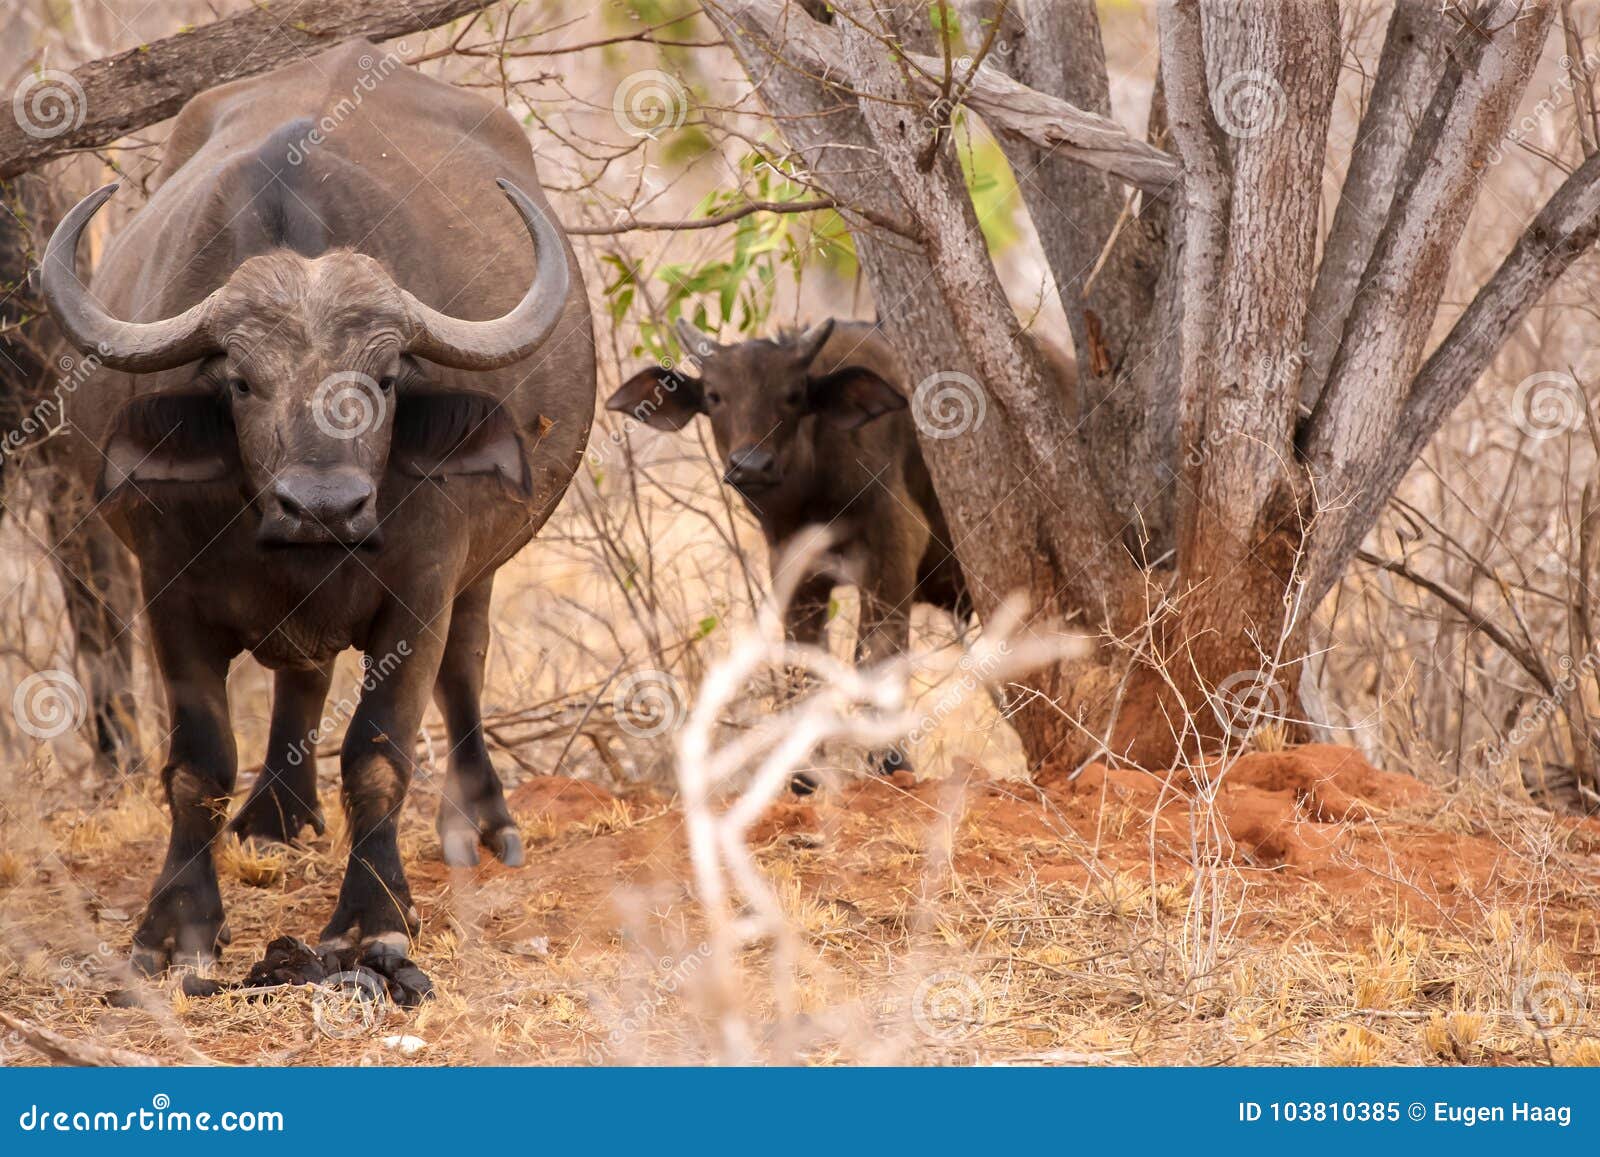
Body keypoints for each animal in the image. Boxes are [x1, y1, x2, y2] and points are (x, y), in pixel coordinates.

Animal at [41, 40, 595, 986]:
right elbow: (198, 763)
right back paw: (276, 819)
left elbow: (378, 753)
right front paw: (176, 926)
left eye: (386, 378)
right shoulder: (167, 592)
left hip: (480, 574)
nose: (326, 505)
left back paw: (484, 824)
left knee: (464, 672)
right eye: (240, 381)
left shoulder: (421, 590)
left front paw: (375, 919)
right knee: (301, 678)